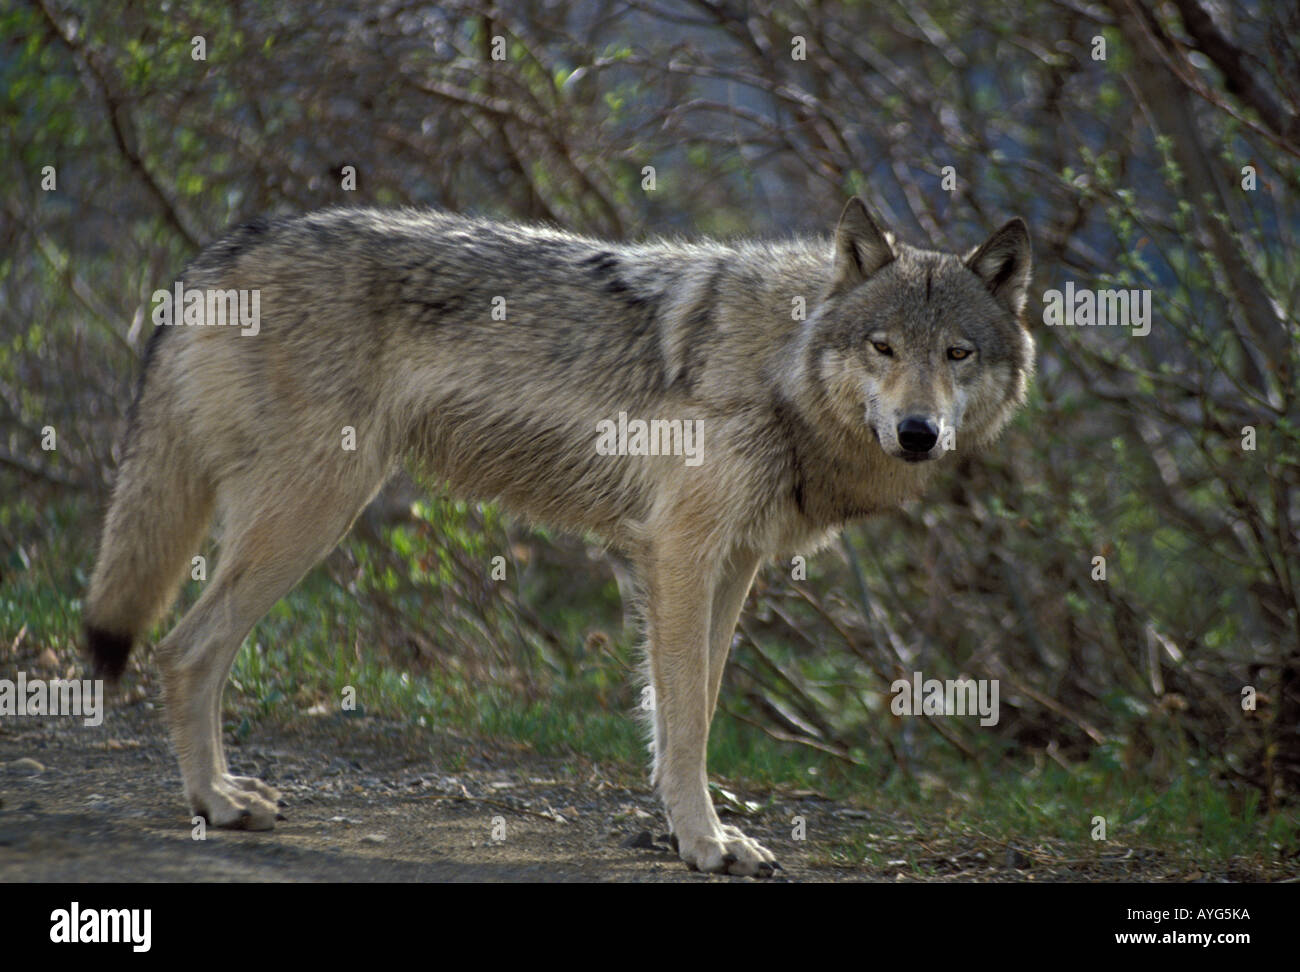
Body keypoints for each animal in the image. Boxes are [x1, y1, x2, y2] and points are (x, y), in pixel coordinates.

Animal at [84, 197, 1033, 876]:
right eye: (882, 347)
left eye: (957, 354)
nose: (918, 432)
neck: (780, 368)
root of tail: (226, 246)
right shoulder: (680, 555)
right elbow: (685, 718)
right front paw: (705, 843)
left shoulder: (733, 566)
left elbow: (693, 710)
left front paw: (690, 829)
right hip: (310, 515)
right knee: (184, 650)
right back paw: (215, 803)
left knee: (185, 648)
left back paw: (217, 794)